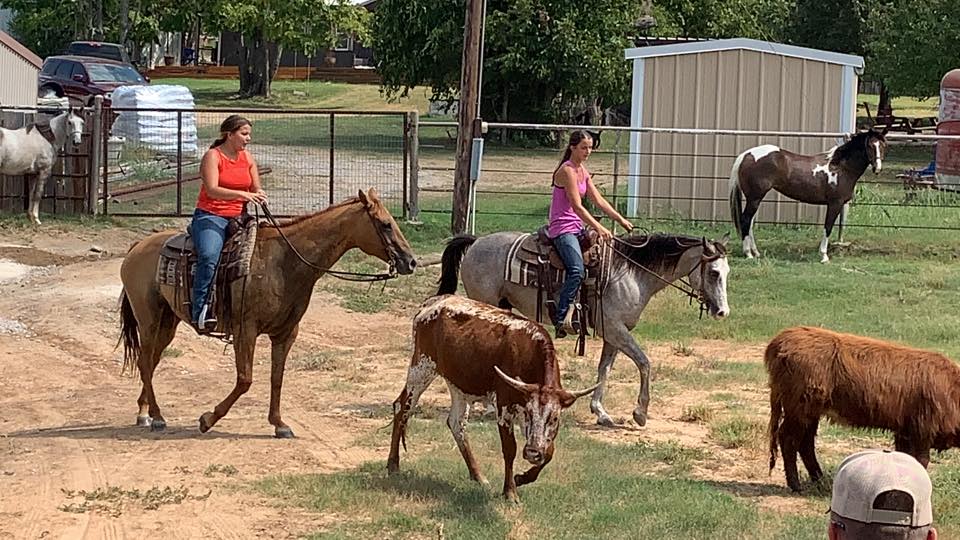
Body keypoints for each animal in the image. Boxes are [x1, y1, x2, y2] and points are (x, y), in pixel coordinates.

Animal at [117, 189, 418, 437]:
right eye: (385, 224)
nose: (411, 261)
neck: (285, 261)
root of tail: (136, 247)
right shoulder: (245, 331)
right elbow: (245, 380)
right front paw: (208, 419)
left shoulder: (285, 333)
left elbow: (277, 378)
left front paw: (279, 424)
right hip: (149, 320)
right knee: (145, 362)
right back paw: (157, 416)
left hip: (167, 323)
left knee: (151, 362)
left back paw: (145, 413)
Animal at [437, 232, 730, 427]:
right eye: (714, 272)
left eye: (727, 272)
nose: (723, 312)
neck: (631, 274)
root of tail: (476, 241)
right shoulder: (616, 330)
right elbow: (644, 363)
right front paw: (640, 413)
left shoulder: (612, 335)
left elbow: (604, 370)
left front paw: (600, 411)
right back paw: (487, 405)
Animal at [729, 128, 888, 263]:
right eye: (870, 146)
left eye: (883, 146)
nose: (877, 169)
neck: (840, 168)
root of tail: (746, 155)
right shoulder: (835, 203)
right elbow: (828, 227)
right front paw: (824, 256)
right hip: (754, 198)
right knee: (745, 220)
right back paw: (748, 253)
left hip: (755, 199)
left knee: (749, 223)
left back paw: (756, 252)